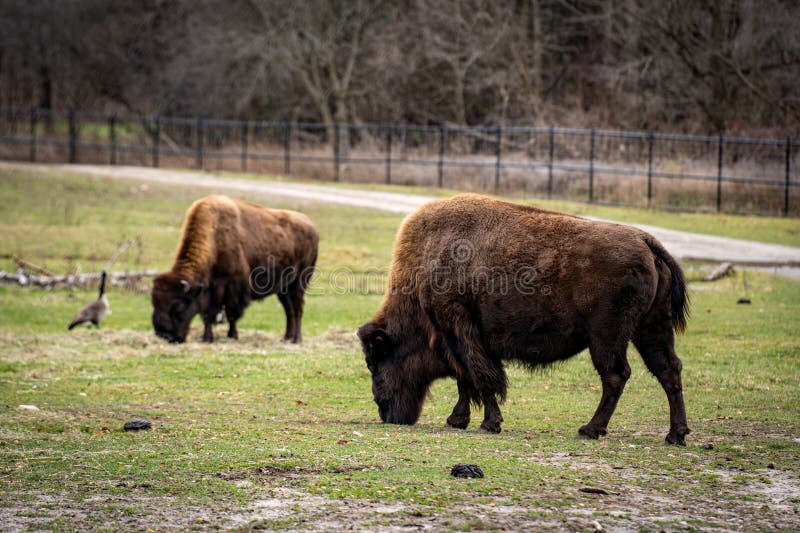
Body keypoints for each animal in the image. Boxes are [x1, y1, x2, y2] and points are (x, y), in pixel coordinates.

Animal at [152, 195, 318, 343]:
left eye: (179, 306)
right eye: (154, 302)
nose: (164, 335)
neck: (214, 234)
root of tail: (312, 228)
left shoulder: (231, 288)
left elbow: (230, 313)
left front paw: (232, 335)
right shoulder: (210, 291)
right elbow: (208, 314)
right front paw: (207, 338)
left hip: (299, 284)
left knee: (297, 308)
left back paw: (297, 339)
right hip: (283, 289)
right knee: (288, 310)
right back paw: (286, 338)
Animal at [358, 194, 690, 445]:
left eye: (376, 362)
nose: (386, 413)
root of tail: (645, 240)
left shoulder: (458, 330)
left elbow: (480, 377)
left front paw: (488, 424)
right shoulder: (462, 339)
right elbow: (466, 378)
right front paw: (458, 420)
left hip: (607, 337)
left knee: (616, 376)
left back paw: (589, 430)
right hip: (651, 328)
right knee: (668, 370)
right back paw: (676, 435)